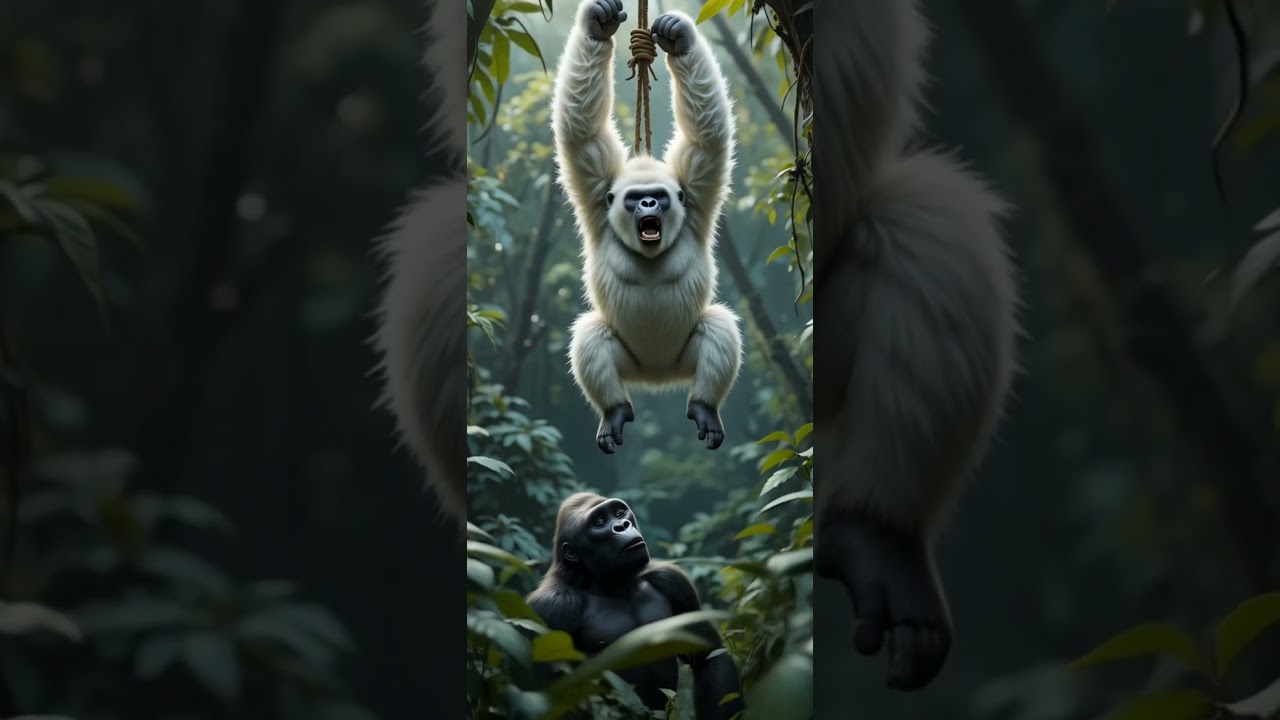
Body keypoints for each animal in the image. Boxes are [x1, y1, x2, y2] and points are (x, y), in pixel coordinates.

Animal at [527, 492, 745, 719]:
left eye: (619, 512)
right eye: (599, 522)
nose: (623, 525)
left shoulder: (672, 581)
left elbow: (710, 656)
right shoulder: (550, 608)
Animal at [552, 0, 744, 455]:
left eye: (657, 193)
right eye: (634, 197)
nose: (648, 203)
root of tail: (657, 377)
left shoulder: (695, 192)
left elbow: (708, 136)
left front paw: (678, 37)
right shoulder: (596, 192)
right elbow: (581, 132)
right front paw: (598, 24)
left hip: (680, 362)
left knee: (718, 326)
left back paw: (704, 407)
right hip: (634, 365)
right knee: (591, 336)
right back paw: (614, 411)